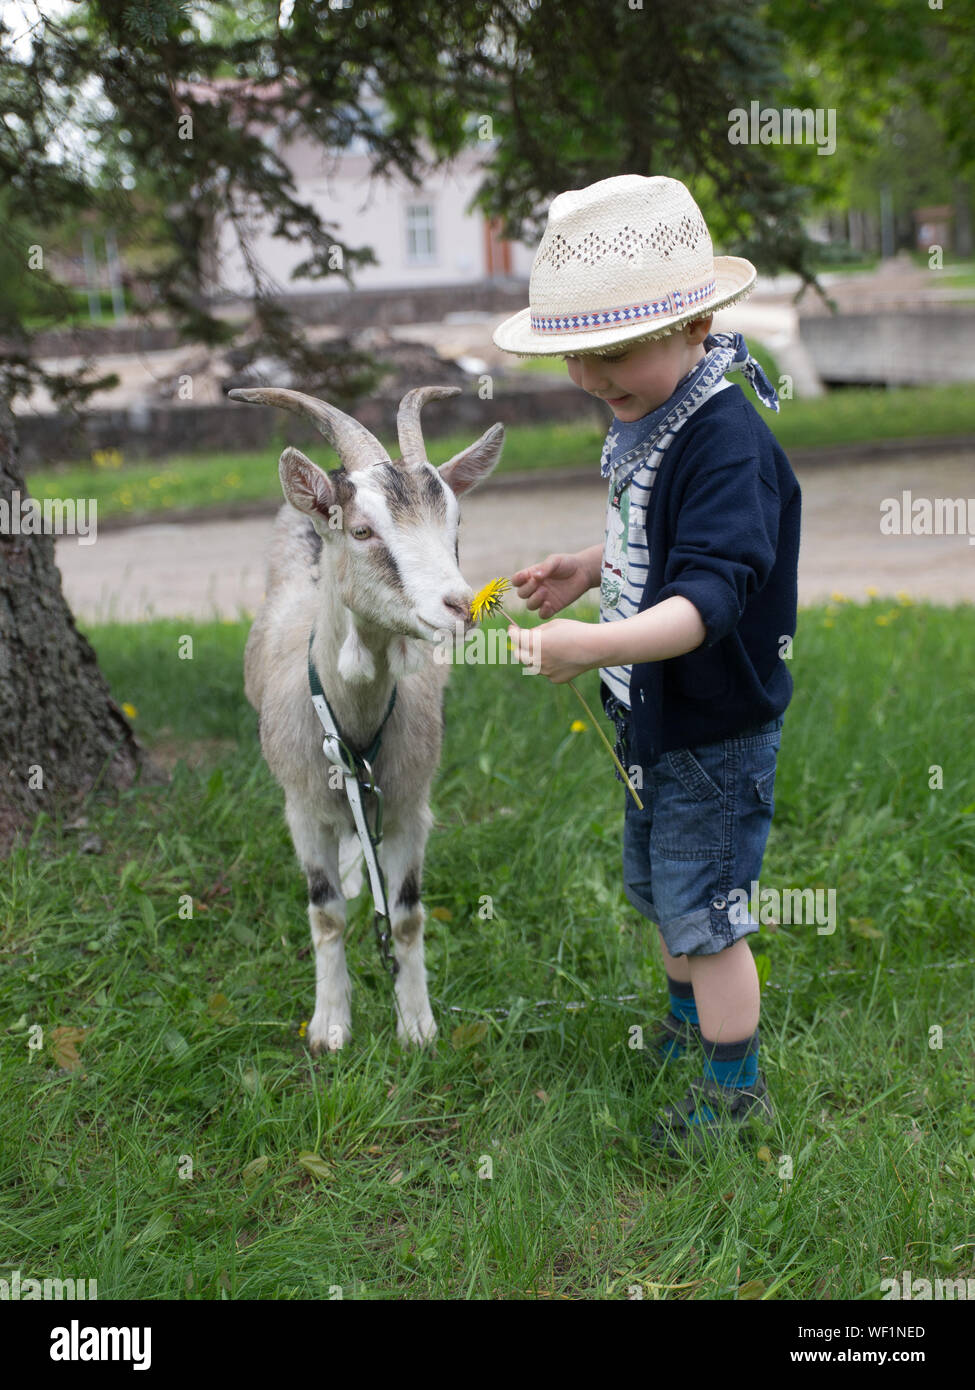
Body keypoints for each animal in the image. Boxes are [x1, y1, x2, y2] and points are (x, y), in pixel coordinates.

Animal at [229, 384, 504, 1051]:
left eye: (456, 524)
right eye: (361, 529)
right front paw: (330, 1027)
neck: (352, 728)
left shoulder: (409, 805)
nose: (460, 607)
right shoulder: (301, 808)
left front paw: (417, 1026)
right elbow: (325, 912)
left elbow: (405, 916)